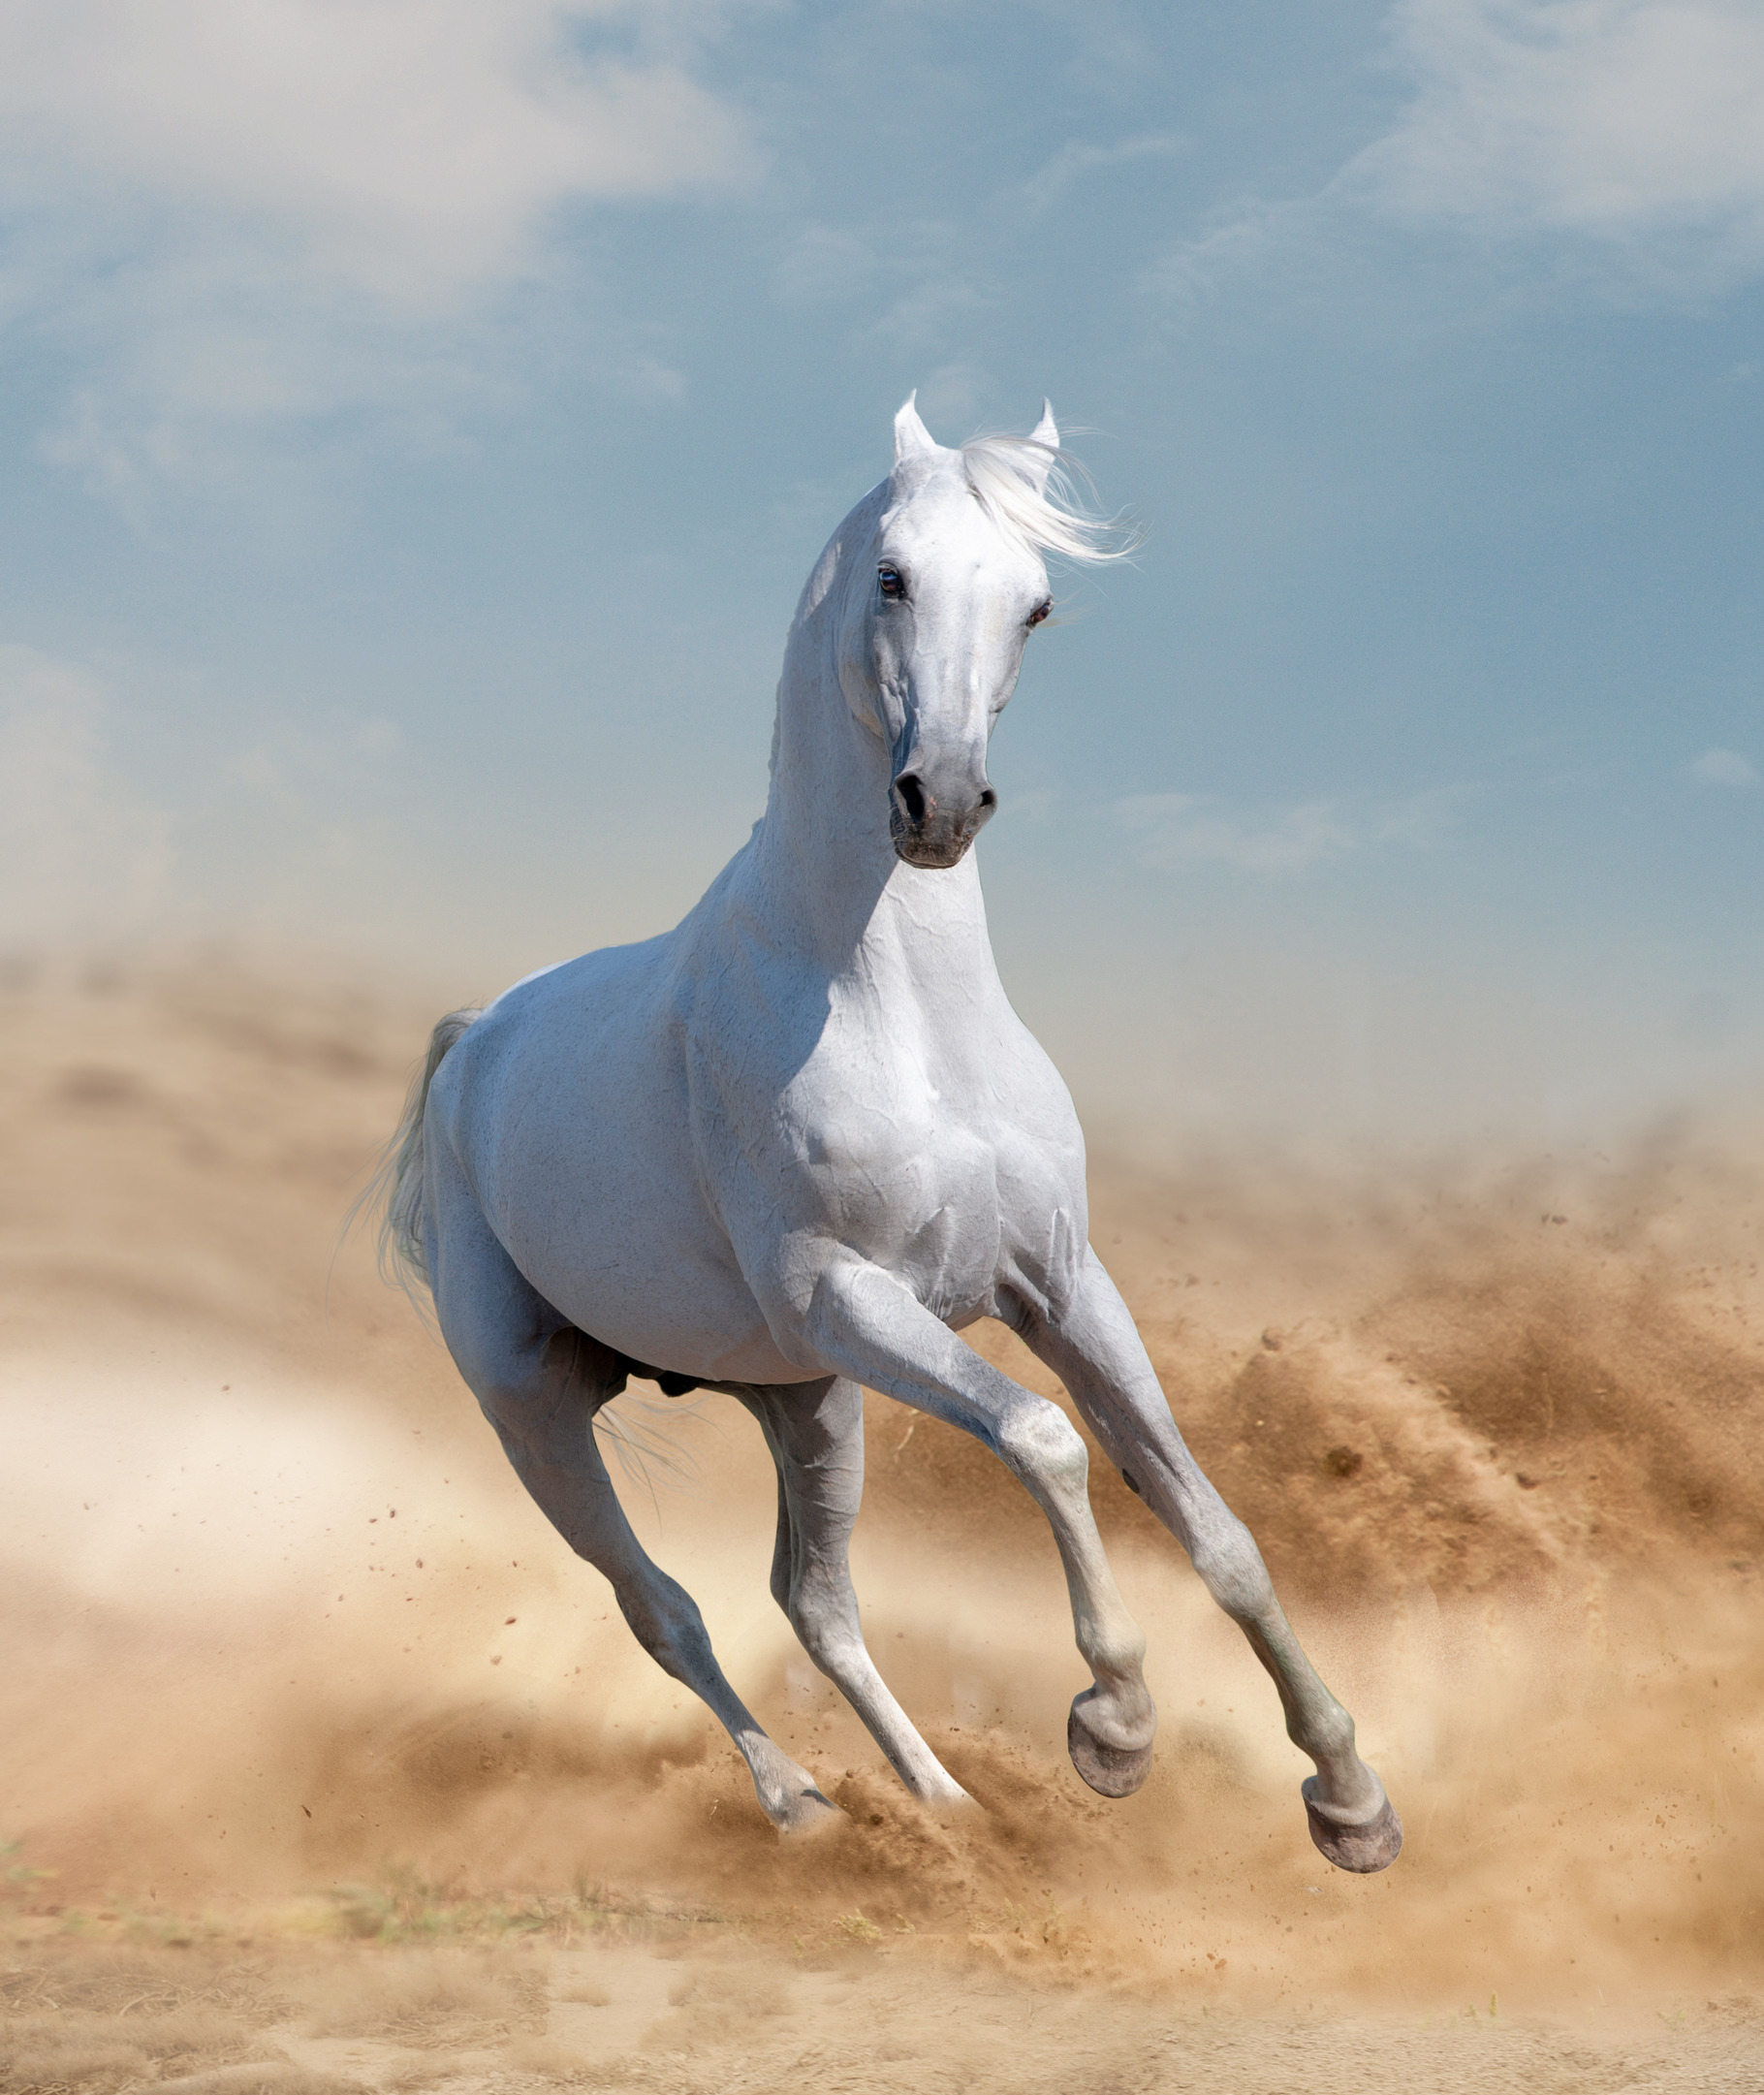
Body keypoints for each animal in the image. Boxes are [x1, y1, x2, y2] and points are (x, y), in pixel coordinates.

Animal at [373, 395, 1402, 1874]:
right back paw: (801, 1805)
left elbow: (1215, 1528)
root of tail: (474, 1043)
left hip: (804, 1400)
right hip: (540, 1411)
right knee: (663, 1606)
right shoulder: (853, 1295)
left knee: (813, 1601)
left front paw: (1349, 1798)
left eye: (1035, 603)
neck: (894, 1003)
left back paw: (945, 1810)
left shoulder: (1058, 1285)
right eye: (892, 575)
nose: (942, 805)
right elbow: (1043, 1438)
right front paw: (1114, 1726)